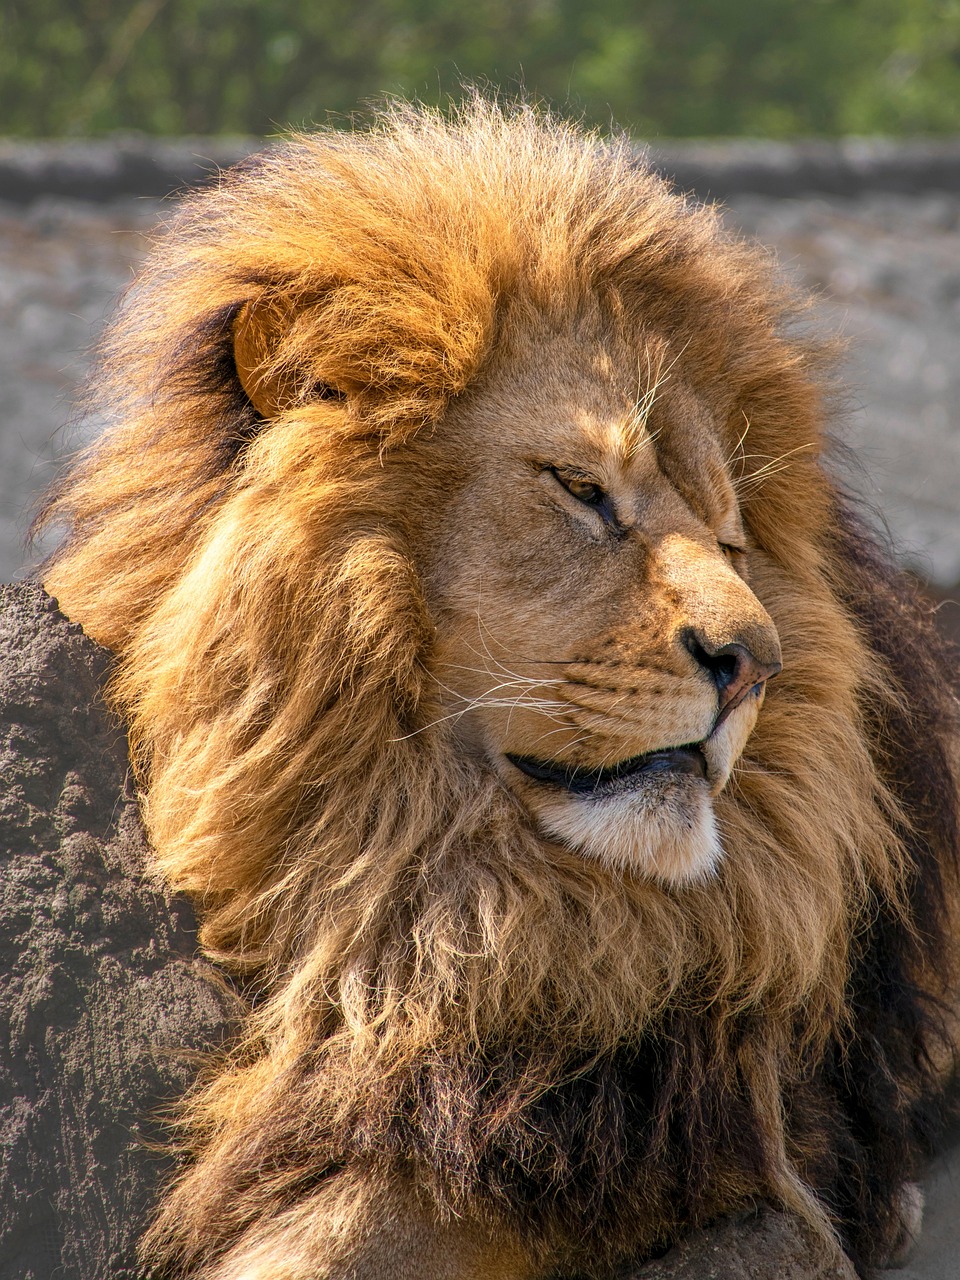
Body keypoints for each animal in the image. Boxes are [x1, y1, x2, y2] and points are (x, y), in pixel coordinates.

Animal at [36, 100, 960, 1279]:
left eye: (730, 538)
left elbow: (341, 1230)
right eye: (580, 490)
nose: (757, 661)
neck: (425, 877)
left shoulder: (644, 1126)